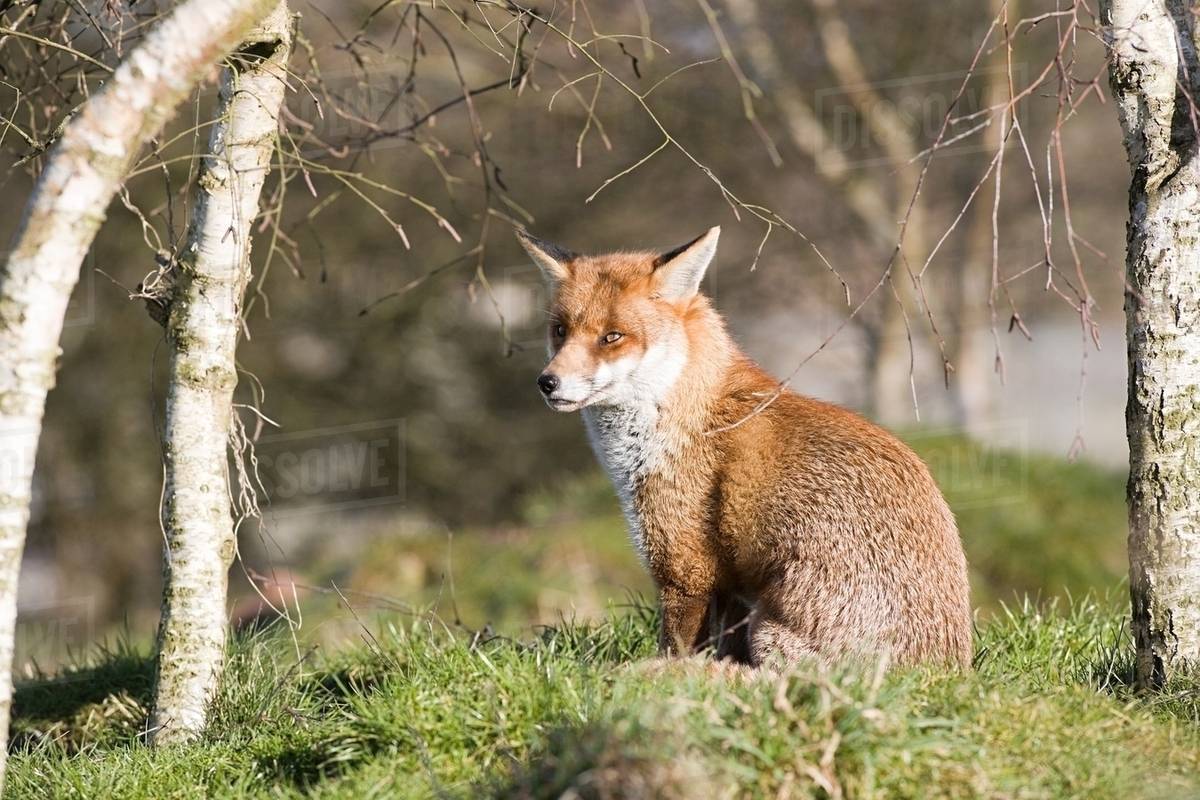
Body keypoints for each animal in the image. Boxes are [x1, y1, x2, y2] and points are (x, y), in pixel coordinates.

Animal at [517, 226, 972, 668]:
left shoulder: (687, 572)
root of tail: (943, 669)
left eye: (612, 337)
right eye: (560, 331)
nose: (546, 382)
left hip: (766, 630)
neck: (685, 414)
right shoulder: (728, 587)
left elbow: (675, 653)